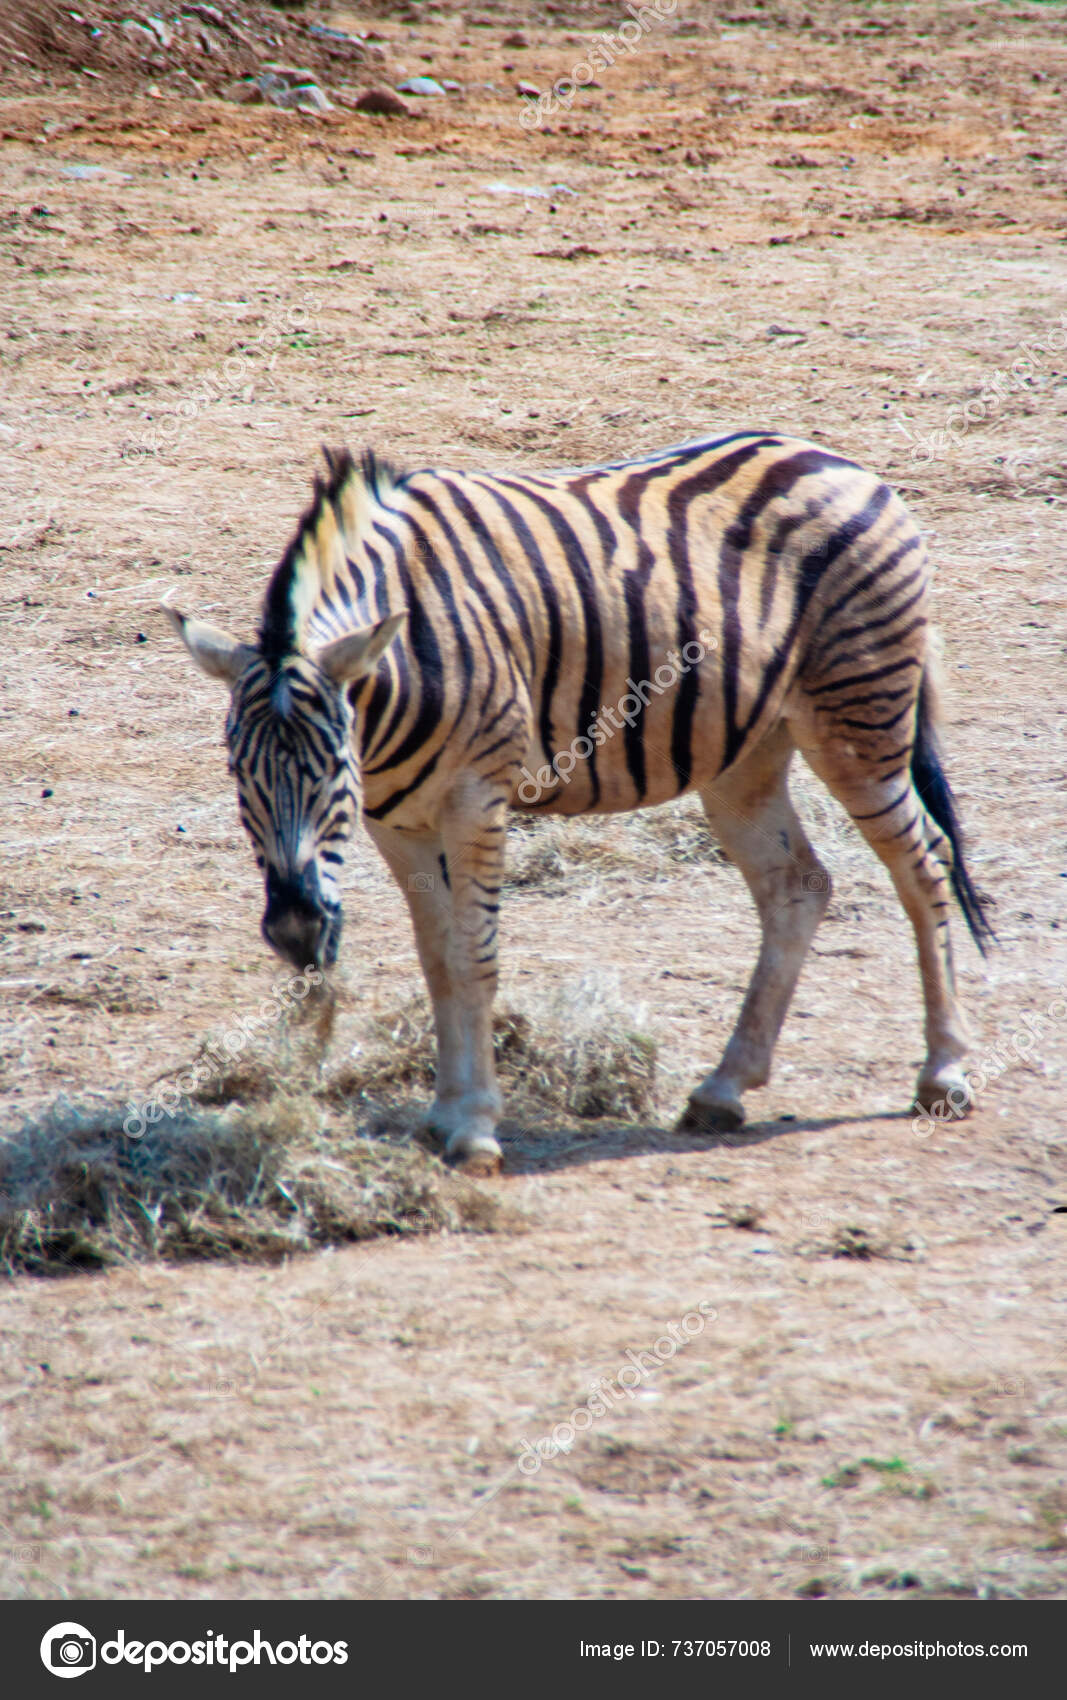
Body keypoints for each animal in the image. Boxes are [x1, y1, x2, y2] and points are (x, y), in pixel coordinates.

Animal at [165, 432, 992, 1174]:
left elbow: (472, 958)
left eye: (333, 767)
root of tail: (841, 462)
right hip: (746, 750)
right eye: (237, 772)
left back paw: (942, 1073)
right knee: (797, 886)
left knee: (924, 864)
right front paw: (441, 1114)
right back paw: (723, 1089)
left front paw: (474, 1129)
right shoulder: (395, 821)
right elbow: (435, 959)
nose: (296, 932)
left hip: (859, 718)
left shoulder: (476, 798)